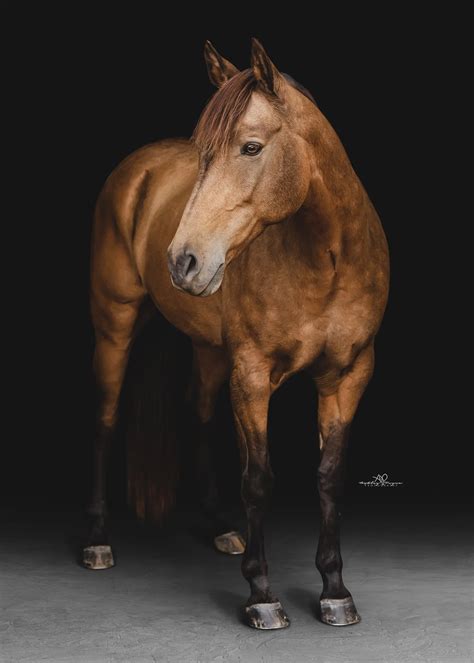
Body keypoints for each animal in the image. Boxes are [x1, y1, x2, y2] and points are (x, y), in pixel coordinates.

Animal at [84, 38, 390, 630]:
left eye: (251, 148)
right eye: (202, 152)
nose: (182, 262)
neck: (326, 262)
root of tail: (137, 169)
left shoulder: (348, 375)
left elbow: (329, 476)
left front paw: (335, 590)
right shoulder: (251, 375)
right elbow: (258, 478)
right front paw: (262, 595)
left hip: (208, 351)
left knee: (197, 411)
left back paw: (221, 528)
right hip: (115, 325)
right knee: (105, 421)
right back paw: (98, 540)